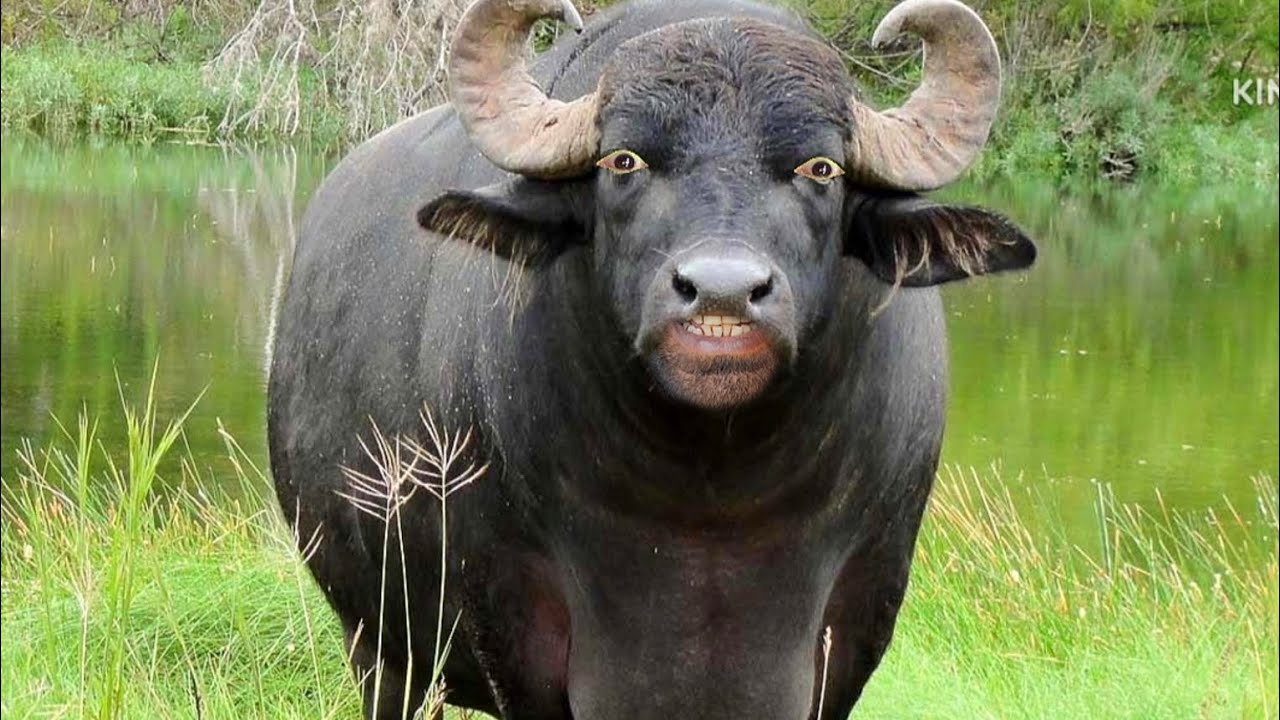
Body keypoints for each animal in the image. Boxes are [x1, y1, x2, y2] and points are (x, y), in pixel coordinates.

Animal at [266, 0, 1037, 717]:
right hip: (378, 646)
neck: (709, 498)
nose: (722, 294)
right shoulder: (508, 614)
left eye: (821, 168)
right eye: (624, 161)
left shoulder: (862, 609)